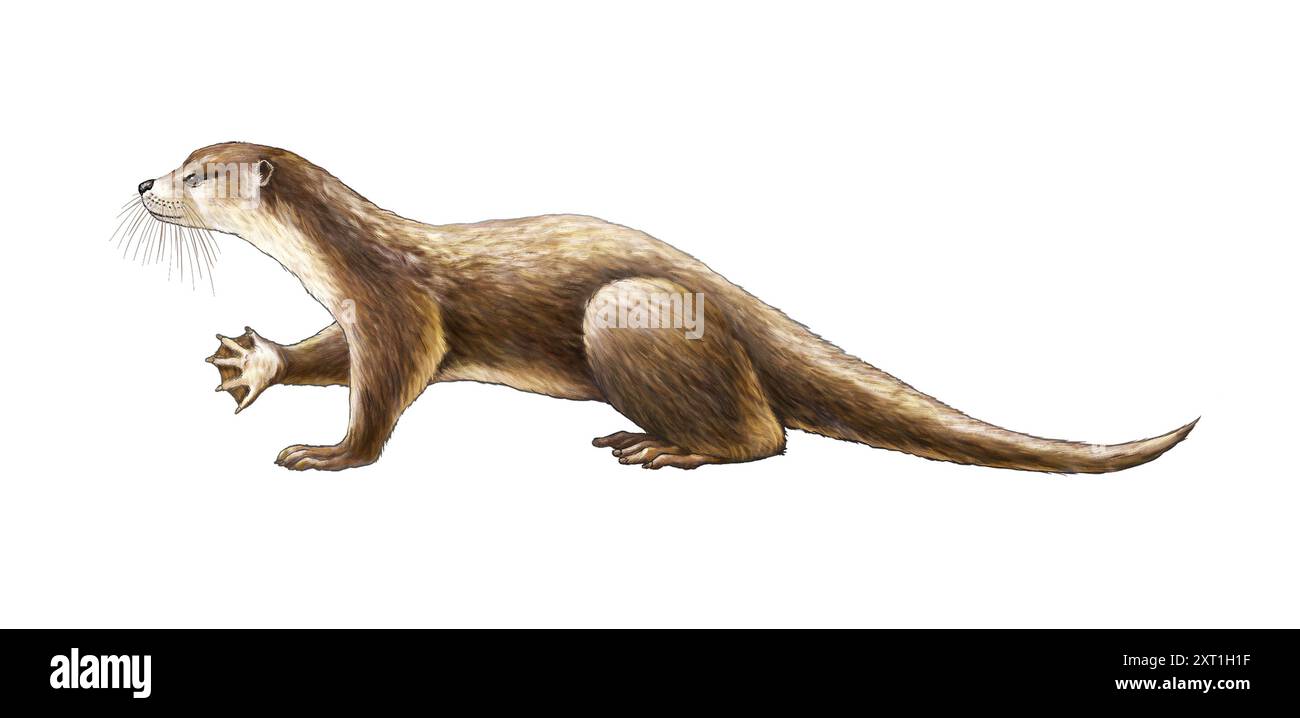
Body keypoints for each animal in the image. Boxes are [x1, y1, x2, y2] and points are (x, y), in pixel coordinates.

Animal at [131, 142, 1196, 472]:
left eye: (197, 174)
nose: (143, 181)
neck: (350, 256)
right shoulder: (356, 312)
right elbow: (326, 356)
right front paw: (255, 362)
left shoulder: (398, 308)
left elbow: (386, 393)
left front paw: (328, 454)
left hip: (631, 317)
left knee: (770, 437)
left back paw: (668, 449)